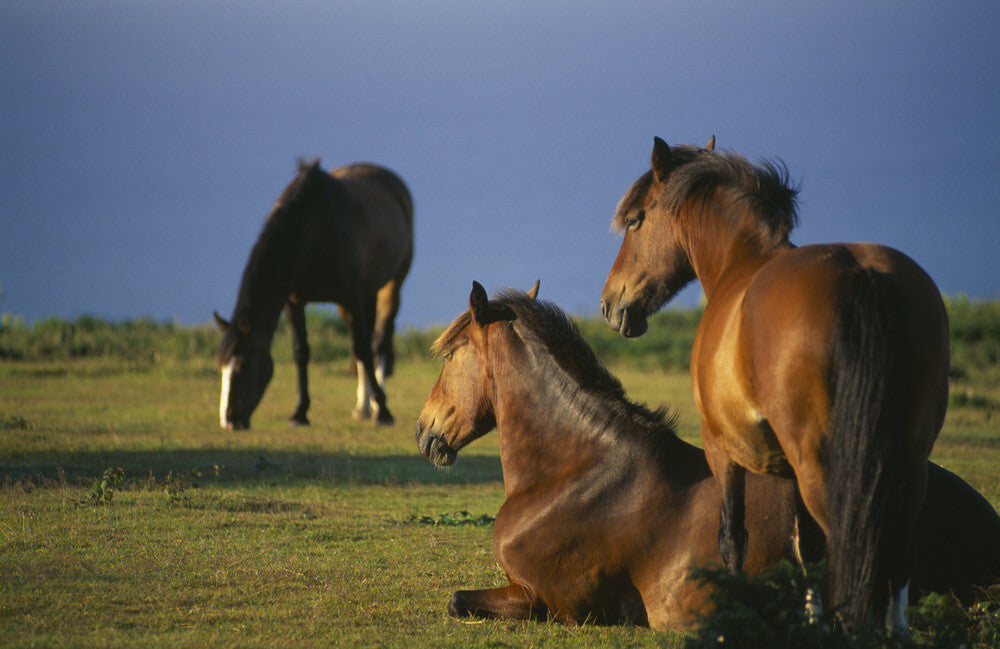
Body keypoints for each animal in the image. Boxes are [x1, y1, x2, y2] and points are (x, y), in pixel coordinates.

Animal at [214, 159, 413, 429]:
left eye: (242, 367)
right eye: (221, 367)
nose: (229, 421)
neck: (312, 229)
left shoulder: (350, 298)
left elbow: (361, 348)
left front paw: (383, 410)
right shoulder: (294, 302)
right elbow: (301, 352)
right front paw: (300, 412)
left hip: (391, 285)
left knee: (377, 342)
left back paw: (375, 404)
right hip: (364, 294)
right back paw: (363, 406)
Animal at [599, 137, 951, 632]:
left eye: (635, 220)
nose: (610, 305)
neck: (741, 262)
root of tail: (860, 272)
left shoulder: (721, 448)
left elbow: (733, 537)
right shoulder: (790, 470)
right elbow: (807, 548)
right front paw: (813, 622)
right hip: (908, 457)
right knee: (896, 545)